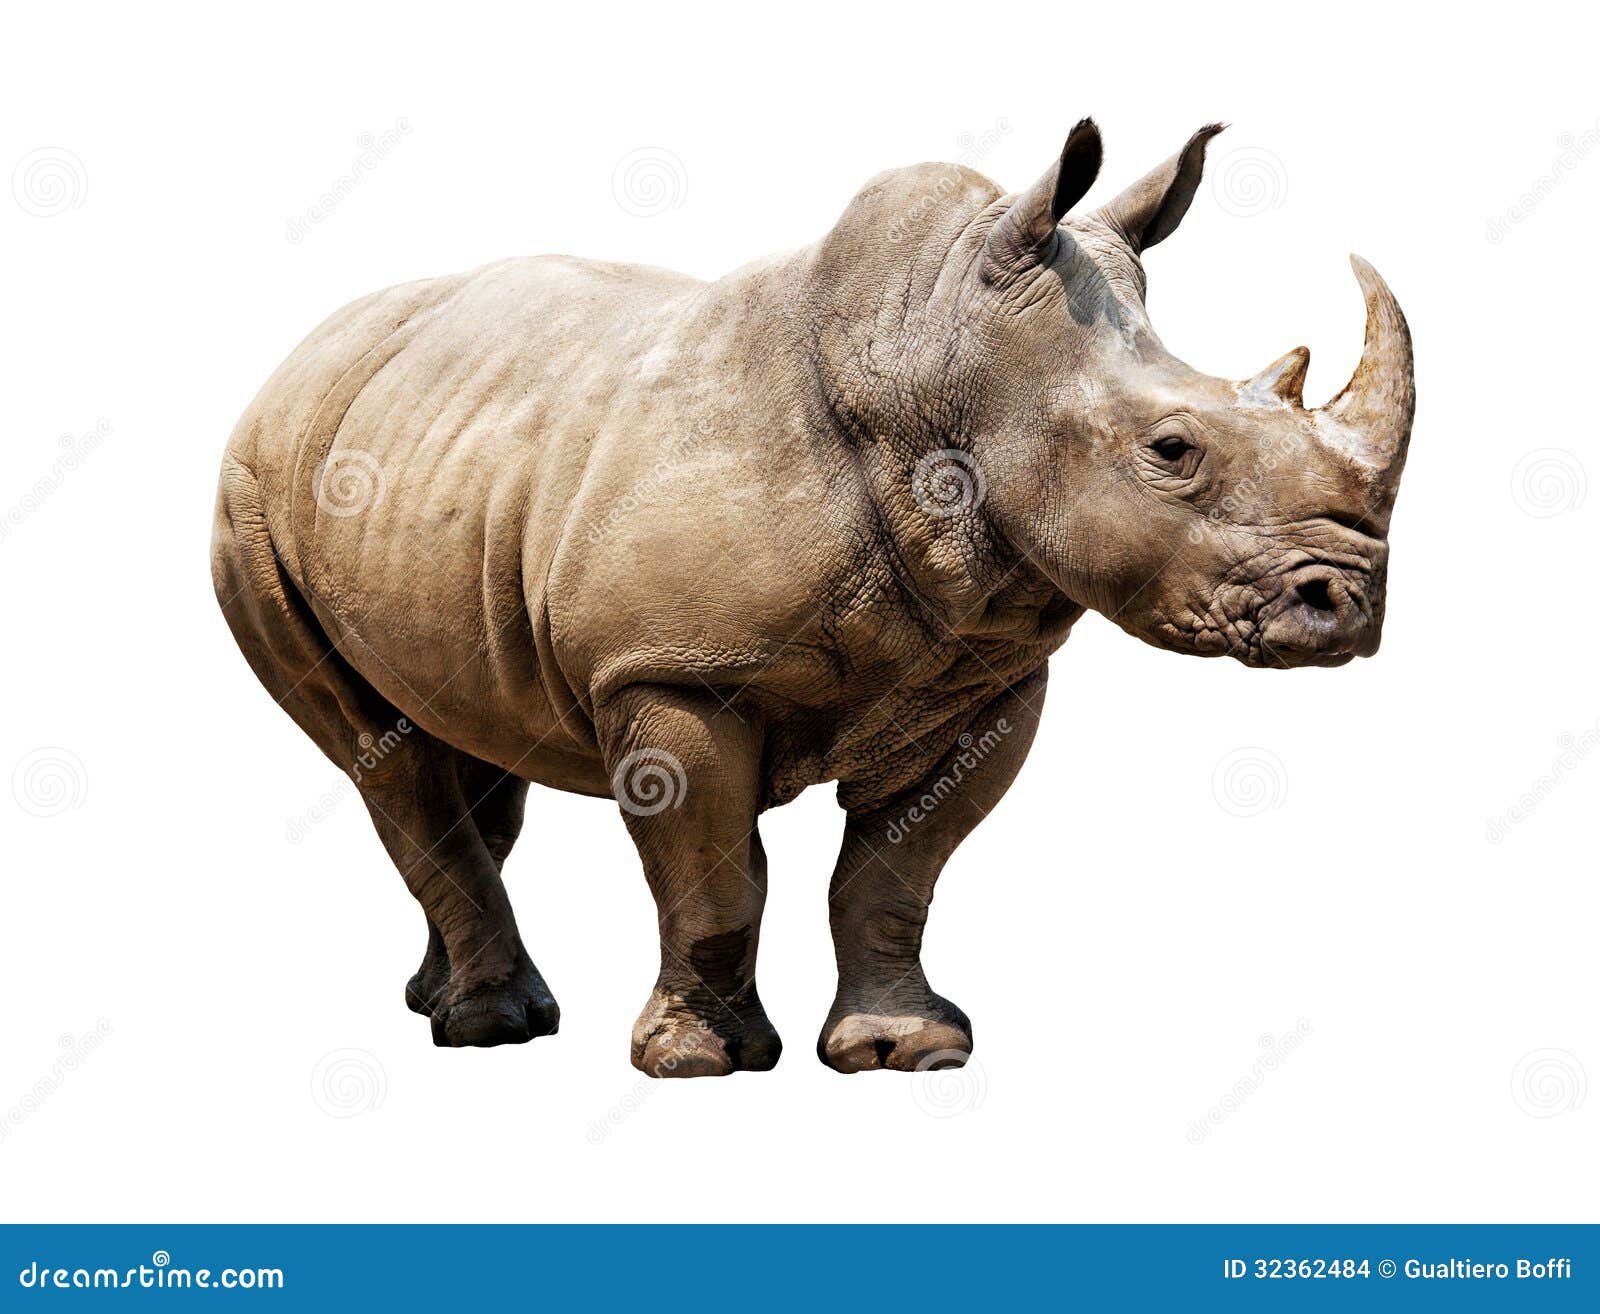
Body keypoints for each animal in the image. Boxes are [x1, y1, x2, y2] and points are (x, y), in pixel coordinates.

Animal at [211, 119, 1414, 1076]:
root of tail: (303, 352)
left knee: (465, 739)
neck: (948, 366)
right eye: (1173, 450)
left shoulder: (984, 681)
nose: (1344, 604)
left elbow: (893, 873)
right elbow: (711, 877)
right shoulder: (669, 670)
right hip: (250, 493)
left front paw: (903, 1052)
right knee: (380, 750)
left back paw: (437, 1002)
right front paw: (700, 1064)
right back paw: (494, 1029)